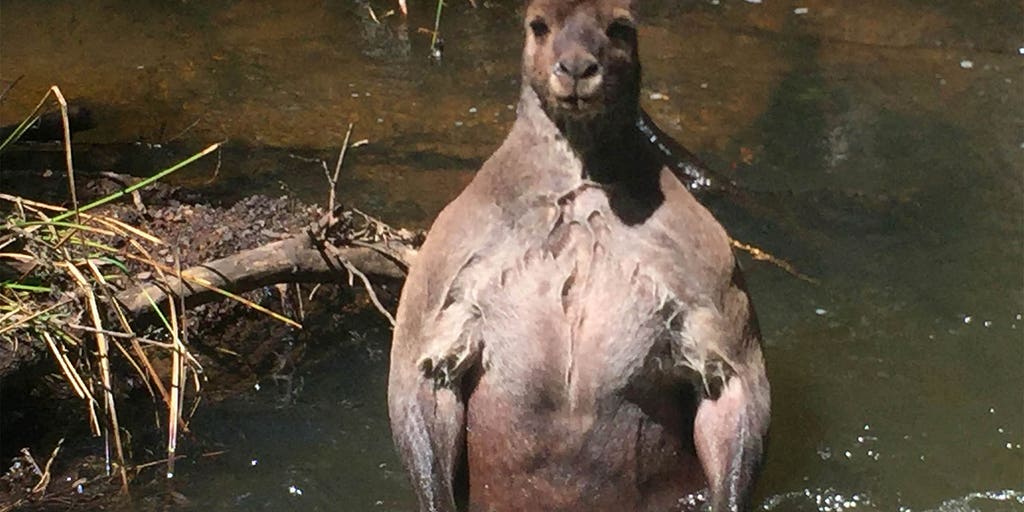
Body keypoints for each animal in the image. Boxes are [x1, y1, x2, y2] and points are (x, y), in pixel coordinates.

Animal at [387, 1, 770, 511]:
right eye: (538, 25)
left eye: (621, 27)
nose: (575, 69)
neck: (579, 185)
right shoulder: (446, 264)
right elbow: (424, 374)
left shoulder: (711, 270)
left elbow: (731, 383)